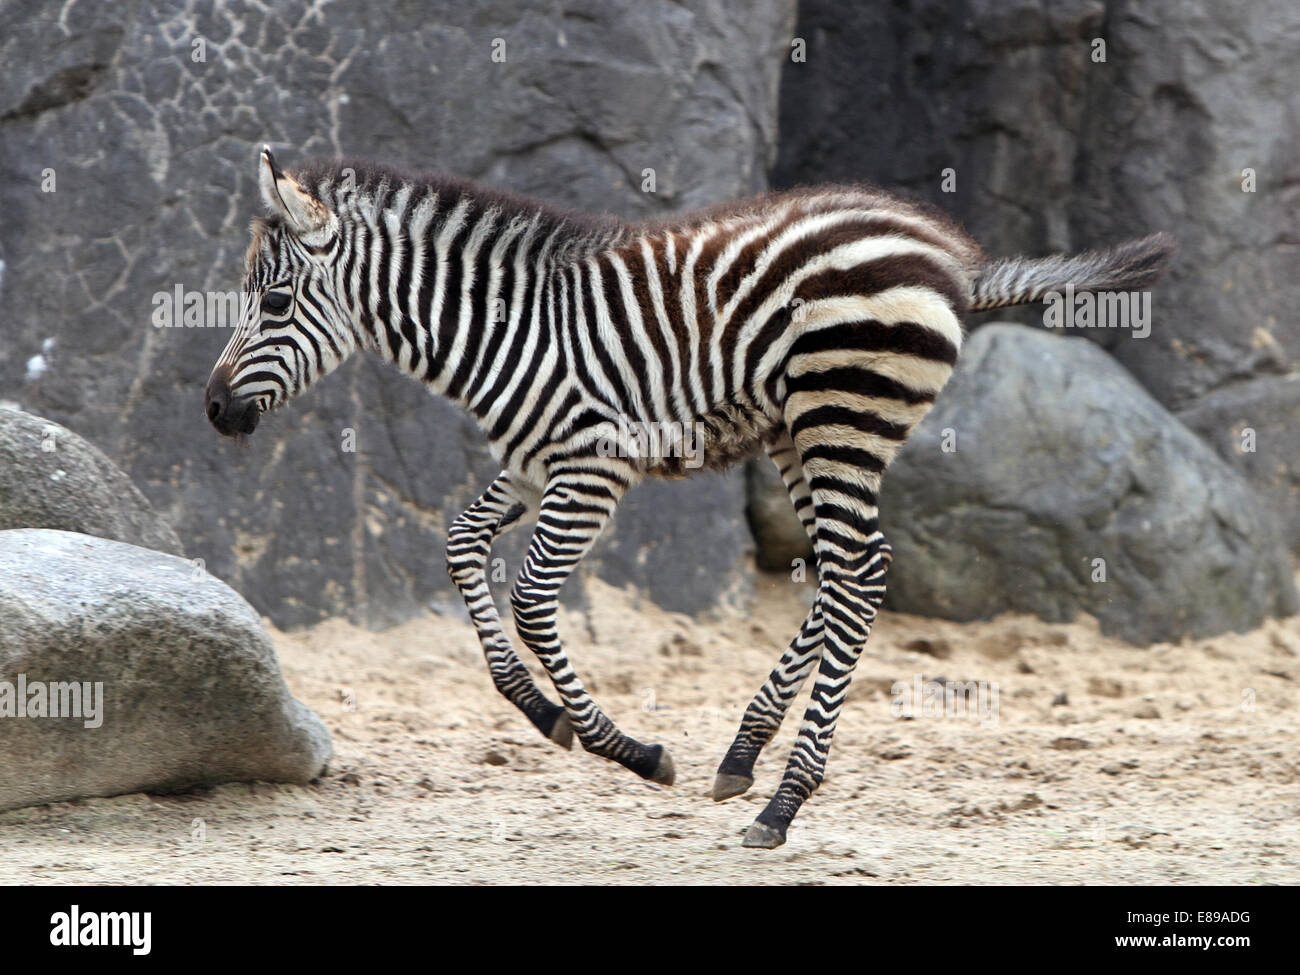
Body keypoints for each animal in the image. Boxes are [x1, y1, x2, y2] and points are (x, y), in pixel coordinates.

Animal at [205, 146, 1174, 848]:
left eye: (275, 301)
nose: (213, 410)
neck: (505, 332)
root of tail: (948, 256)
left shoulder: (592, 467)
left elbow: (532, 599)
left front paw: (629, 749)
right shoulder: (532, 463)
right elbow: (460, 547)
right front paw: (539, 711)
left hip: (841, 417)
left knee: (859, 574)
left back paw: (783, 803)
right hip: (800, 433)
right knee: (842, 572)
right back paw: (746, 755)